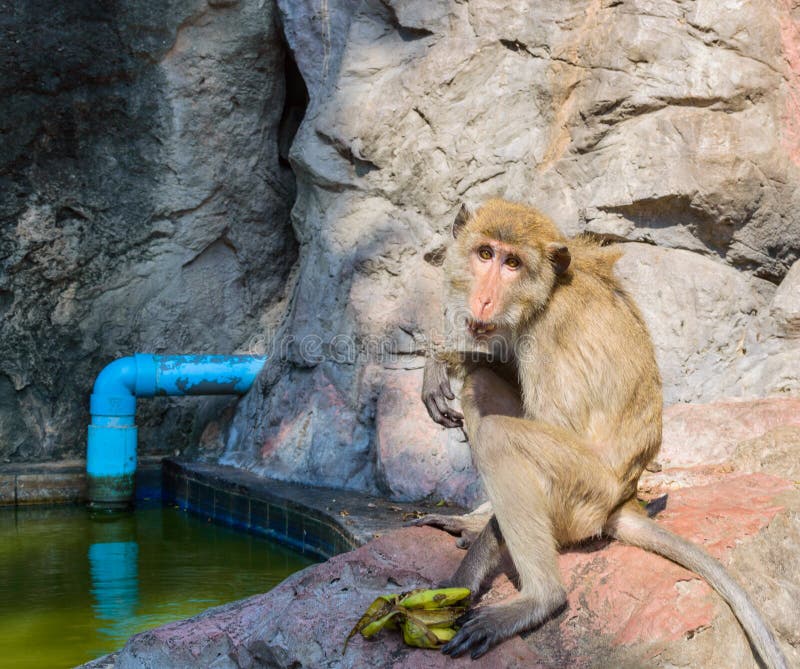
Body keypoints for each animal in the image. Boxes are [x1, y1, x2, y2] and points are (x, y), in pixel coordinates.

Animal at [416, 199, 788, 667]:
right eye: (485, 253)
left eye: (513, 263)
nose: (483, 300)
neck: (544, 298)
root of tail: (625, 498)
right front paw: (444, 358)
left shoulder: (548, 334)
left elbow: (548, 422)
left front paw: (462, 582)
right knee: (481, 383)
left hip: (584, 495)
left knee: (500, 436)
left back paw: (540, 598)